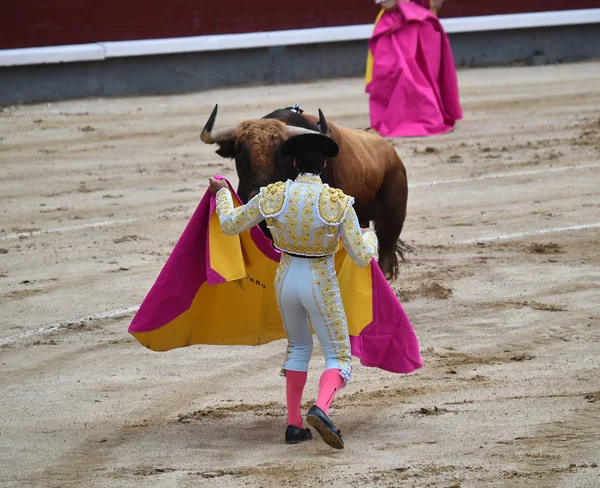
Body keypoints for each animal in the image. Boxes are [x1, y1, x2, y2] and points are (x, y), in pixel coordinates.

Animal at [199, 103, 410, 280]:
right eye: (241, 156)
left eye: (280, 156)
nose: (257, 197)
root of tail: (392, 153)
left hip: (392, 219)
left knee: (385, 254)